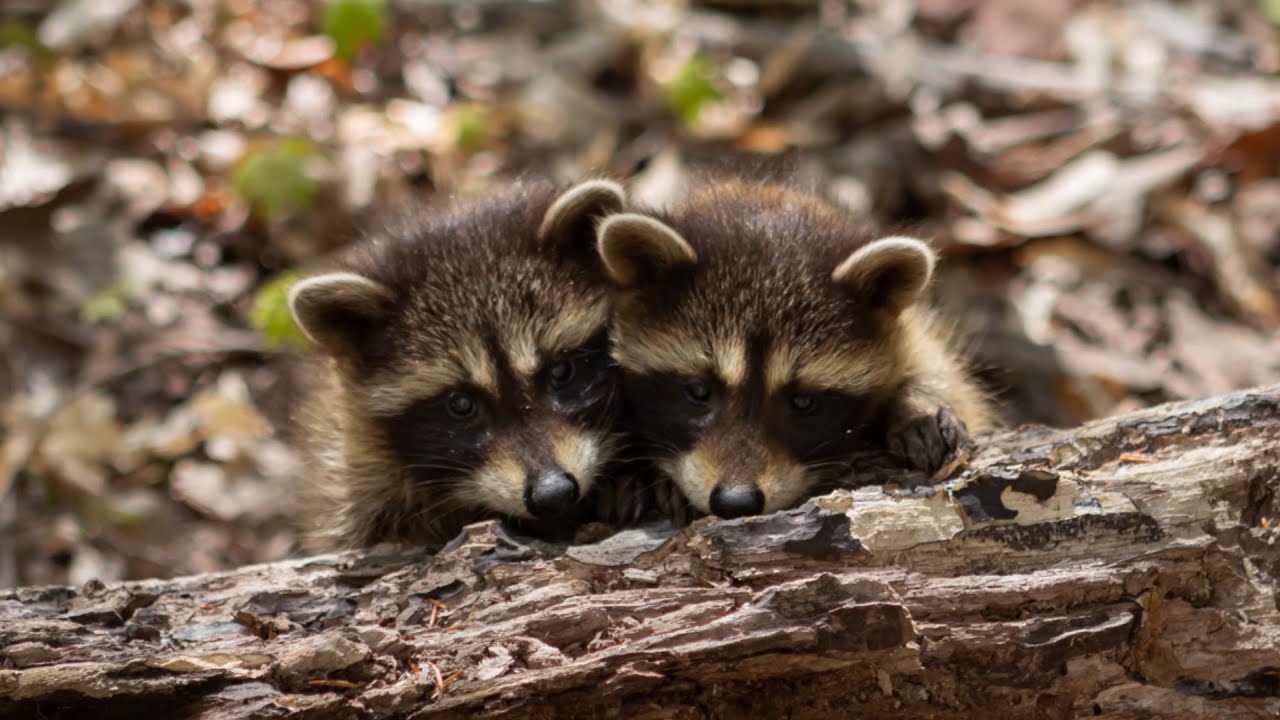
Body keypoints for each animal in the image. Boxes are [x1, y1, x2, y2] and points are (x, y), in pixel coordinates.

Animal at [596, 180, 994, 519]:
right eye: (697, 391)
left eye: (803, 401)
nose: (735, 502)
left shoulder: (905, 333)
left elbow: (936, 363)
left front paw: (919, 400)